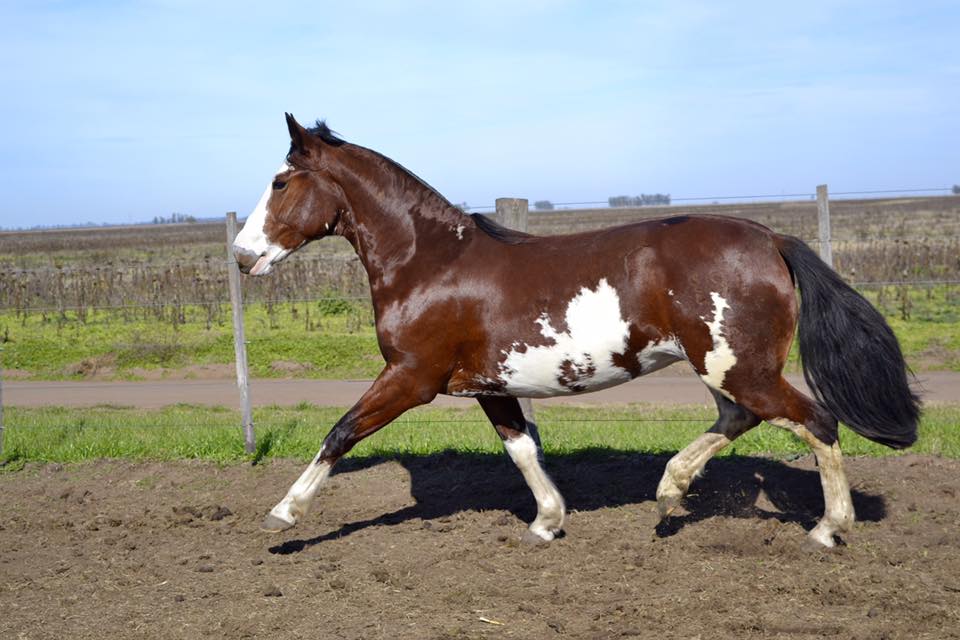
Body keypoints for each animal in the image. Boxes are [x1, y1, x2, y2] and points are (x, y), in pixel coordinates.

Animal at [233, 113, 920, 548]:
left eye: (280, 181)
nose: (241, 256)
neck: (428, 262)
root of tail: (771, 238)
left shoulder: (410, 376)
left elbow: (340, 432)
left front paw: (282, 514)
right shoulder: (488, 385)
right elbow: (522, 449)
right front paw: (547, 521)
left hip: (739, 366)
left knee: (816, 422)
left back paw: (828, 530)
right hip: (724, 366)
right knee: (740, 419)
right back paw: (670, 489)